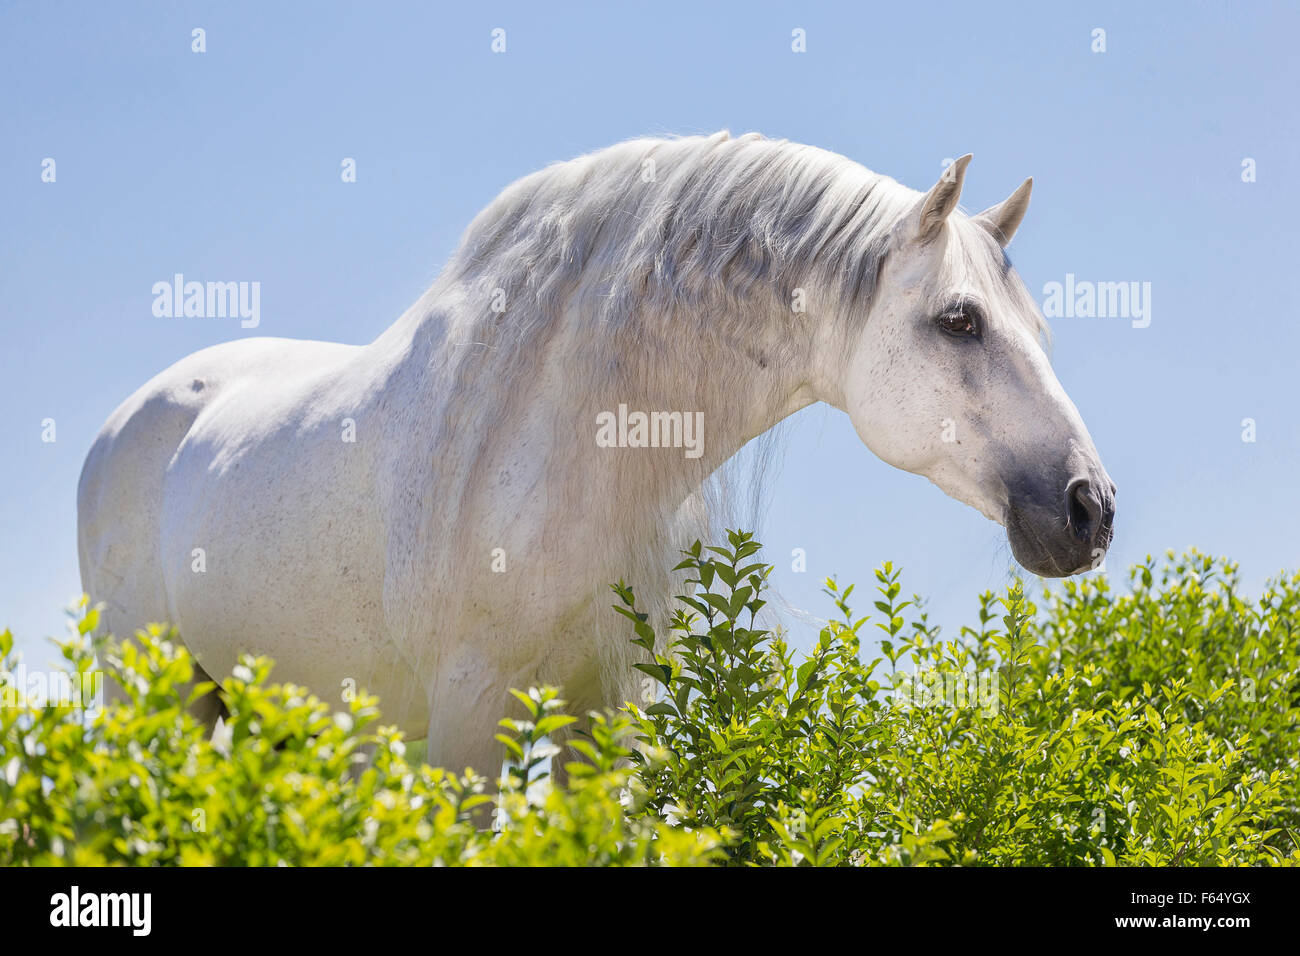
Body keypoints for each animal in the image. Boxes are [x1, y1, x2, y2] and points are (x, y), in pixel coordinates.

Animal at [77, 131, 1115, 777]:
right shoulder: (467, 717)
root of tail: (130, 421)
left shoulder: (597, 715)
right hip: (158, 702)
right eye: (959, 320)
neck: (560, 442)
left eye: (1036, 328)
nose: (1090, 509)